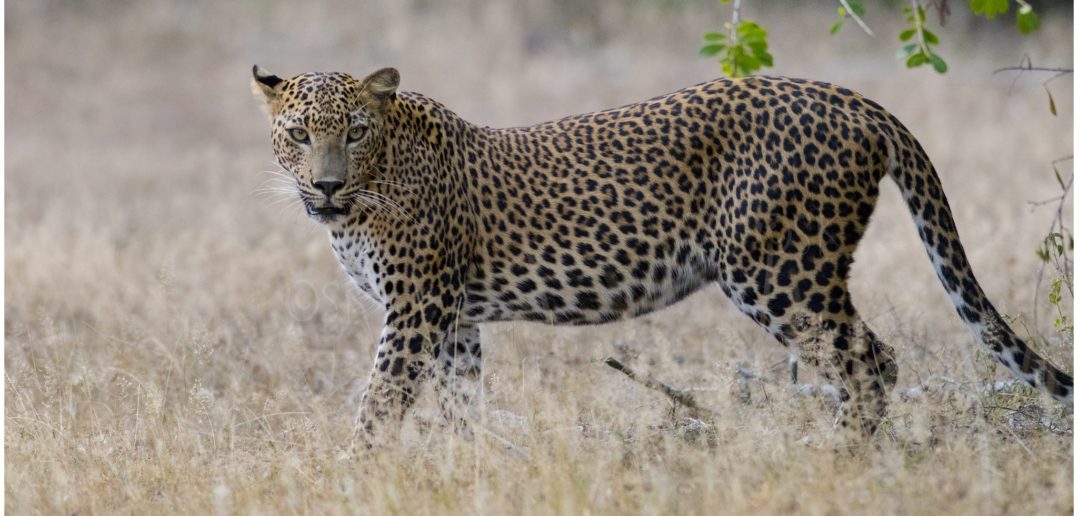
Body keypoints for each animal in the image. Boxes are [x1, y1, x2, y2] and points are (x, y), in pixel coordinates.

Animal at [250, 65, 1072, 447]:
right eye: (300, 133)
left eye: (354, 131)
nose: (325, 184)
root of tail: (855, 99)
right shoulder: (453, 318)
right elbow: (461, 404)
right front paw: (466, 466)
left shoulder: (417, 308)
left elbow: (379, 402)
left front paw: (355, 472)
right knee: (879, 357)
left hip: (778, 270)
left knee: (865, 361)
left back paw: (832, 458)